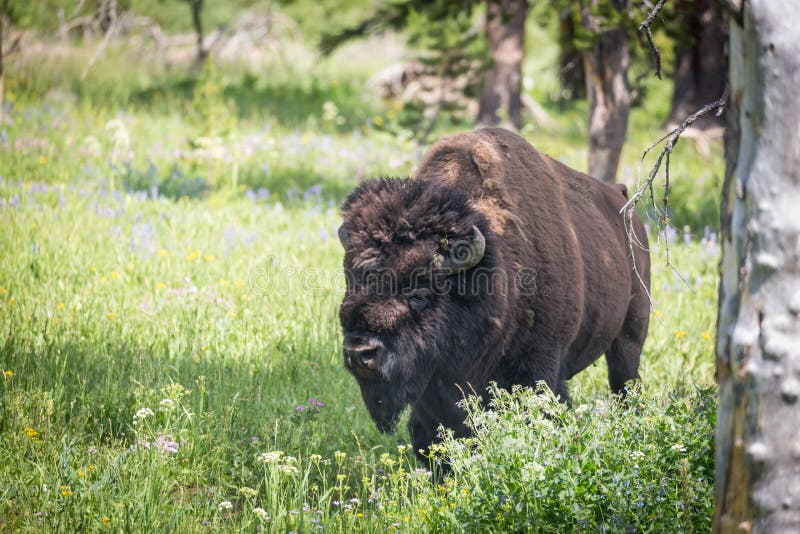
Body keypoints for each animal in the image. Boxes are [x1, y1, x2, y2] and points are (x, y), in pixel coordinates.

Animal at [337, 128, 650, 456]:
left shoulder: (541, 367)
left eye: (419, 293)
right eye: (351, 282)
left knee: (625, 383)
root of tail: (624, 201)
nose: (360, 352)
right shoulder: (431, 385)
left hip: (630, 336)